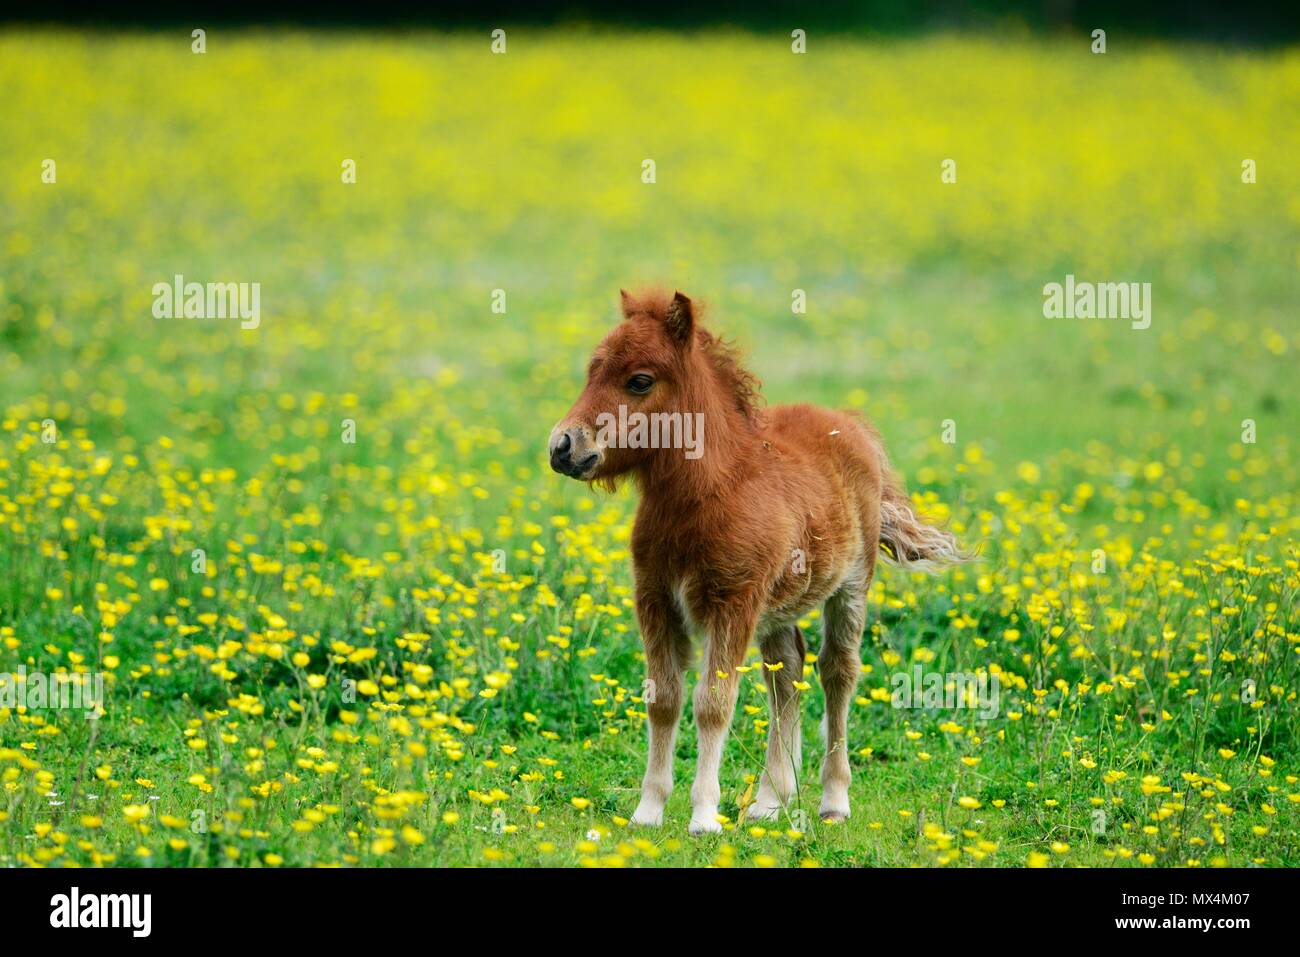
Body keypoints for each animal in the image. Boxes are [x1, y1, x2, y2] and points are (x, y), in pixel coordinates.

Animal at [548, 288, 971, 834]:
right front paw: (649, 810)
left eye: (639, 380)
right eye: (592, 370)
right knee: (787, 669)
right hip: (778, 604)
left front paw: (704, 815)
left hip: (851, 585)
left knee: (837, 671)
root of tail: (852, 425)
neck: (708, 494)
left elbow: (712, 704)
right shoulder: (655, 598)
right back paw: (772, 799)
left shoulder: (733, 602)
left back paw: (833, 800)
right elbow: (664, 699)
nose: (563, 447)